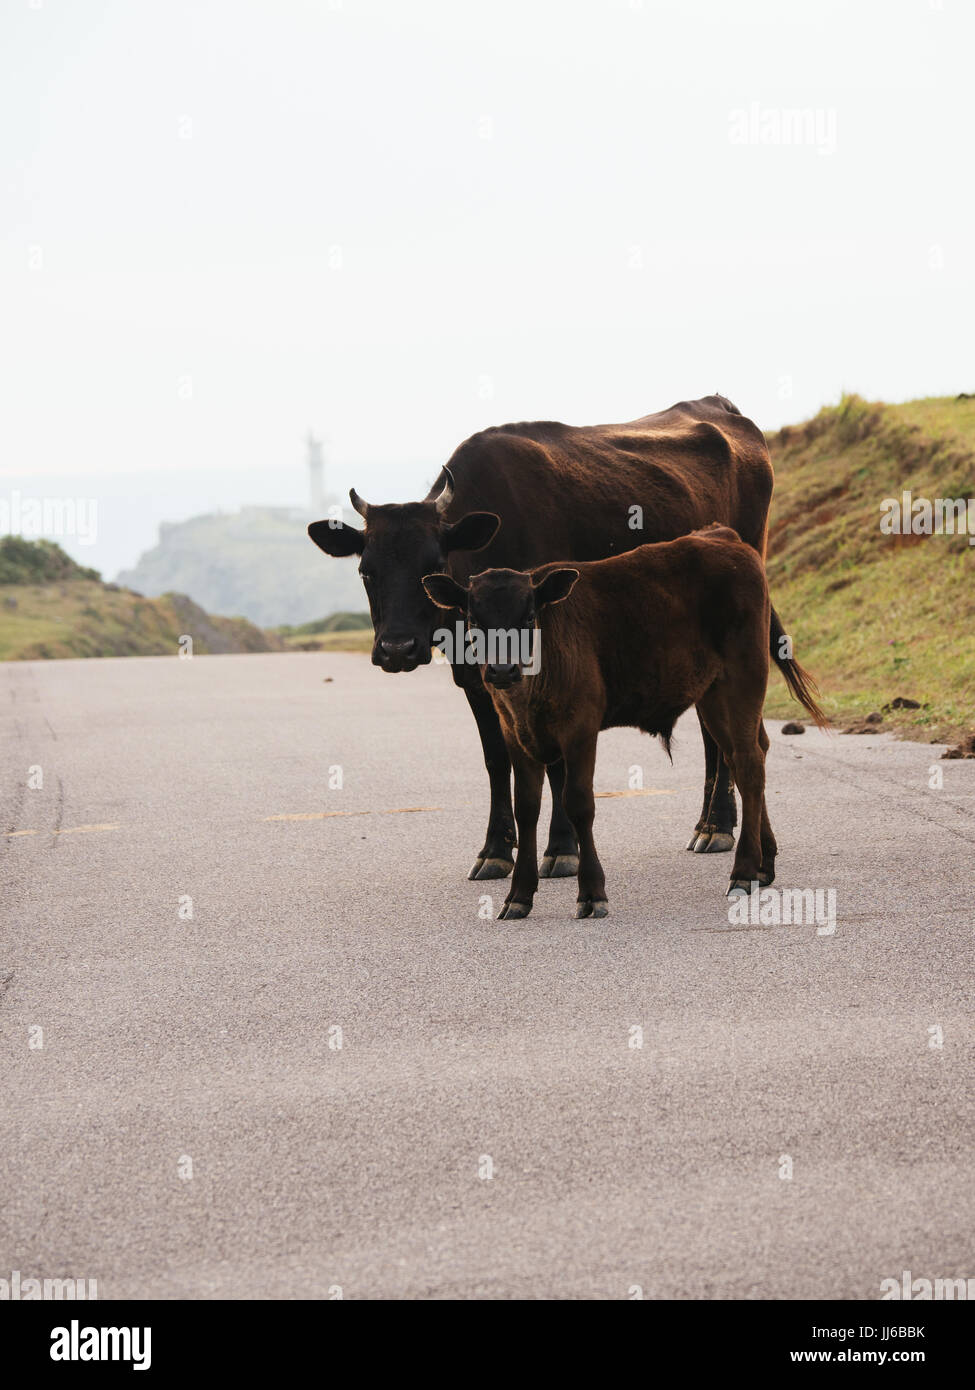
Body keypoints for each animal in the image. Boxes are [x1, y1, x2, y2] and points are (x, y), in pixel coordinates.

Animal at [308, 395, 777, 881]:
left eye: (432, 566)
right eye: (366, 571)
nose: (397, 648)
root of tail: (718, 407)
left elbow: (558, 768)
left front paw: (561, 849)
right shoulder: (475, 677)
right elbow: (497, 760)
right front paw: (496, 849)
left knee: (725, 735)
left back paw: (718, 826)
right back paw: (710, 823)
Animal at [422, 526, 827, 919]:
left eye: (528, 617)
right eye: (474, 620)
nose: (503, 670)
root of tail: (721, 536)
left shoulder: (580, 729)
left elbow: (579, 803)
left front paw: (591, 893)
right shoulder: (516, 735)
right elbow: (527, 808)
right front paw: (519, 895)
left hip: (743, 679)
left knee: (748, 763)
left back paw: (743, 871)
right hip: (713, 696)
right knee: (749, 757)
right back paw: (763, 863)